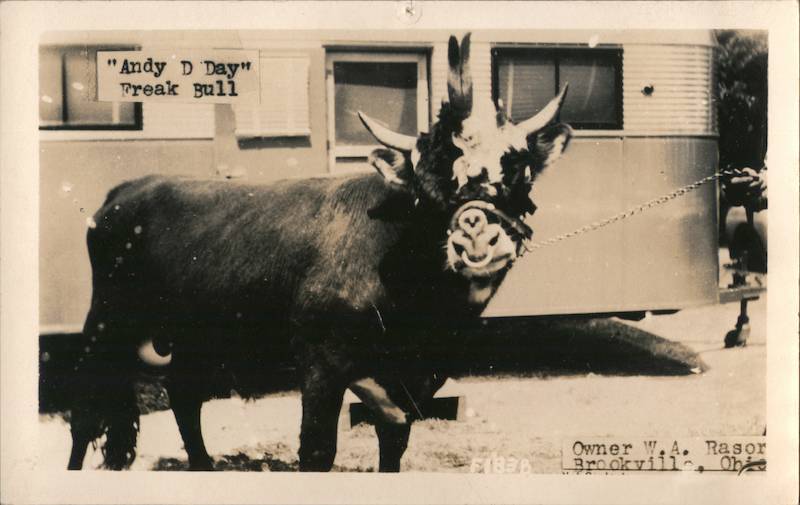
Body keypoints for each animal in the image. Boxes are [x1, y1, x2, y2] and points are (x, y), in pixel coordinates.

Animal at [66, 33, 572, 472]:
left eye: (519, 169)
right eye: (428, 184)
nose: (477, 237)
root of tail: (129, 189)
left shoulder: (409, 382)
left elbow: (394, 444)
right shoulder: (321, 361)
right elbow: (316, 451)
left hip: (196, 332)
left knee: (184, 395)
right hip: (107, 318)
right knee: (86, 413)